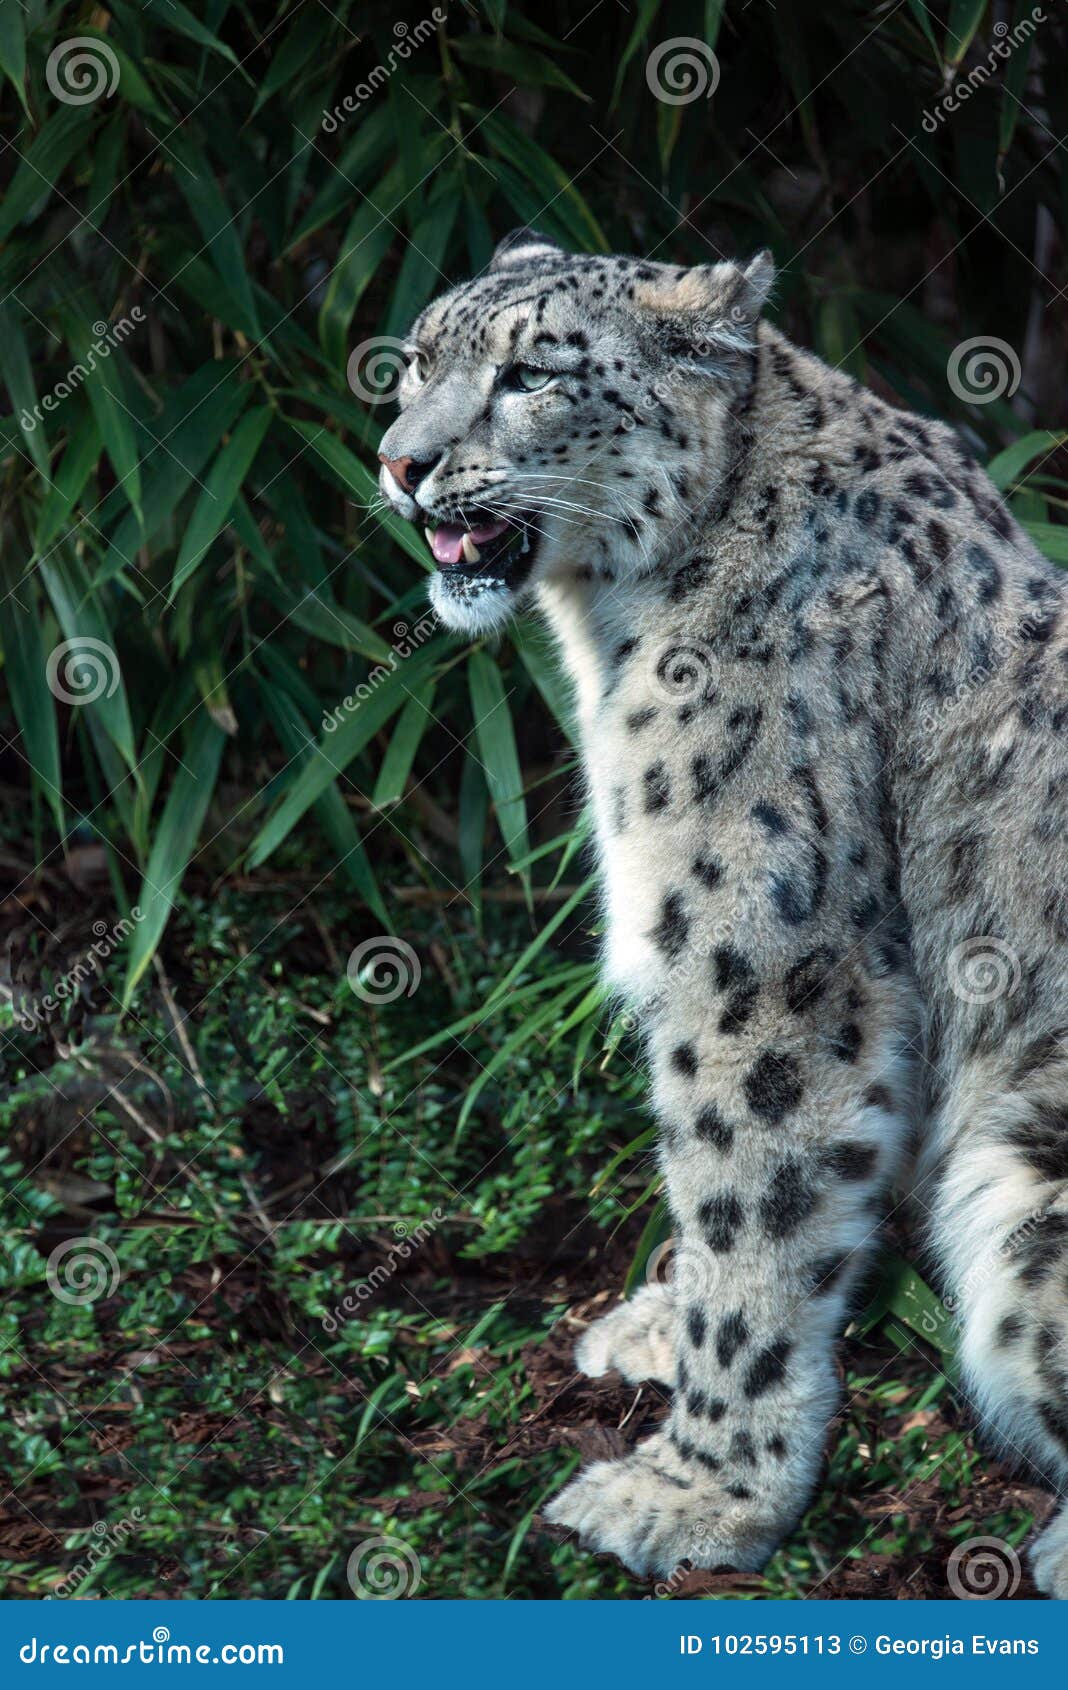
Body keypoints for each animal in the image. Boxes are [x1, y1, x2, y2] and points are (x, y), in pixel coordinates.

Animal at [376, 227, 1068, 1595]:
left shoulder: (765, 967)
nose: (400, 462)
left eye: (533, 372)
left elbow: (756, 1203)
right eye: (418, 359)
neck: (607, 636)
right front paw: (660, 1327)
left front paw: (697, 1492)